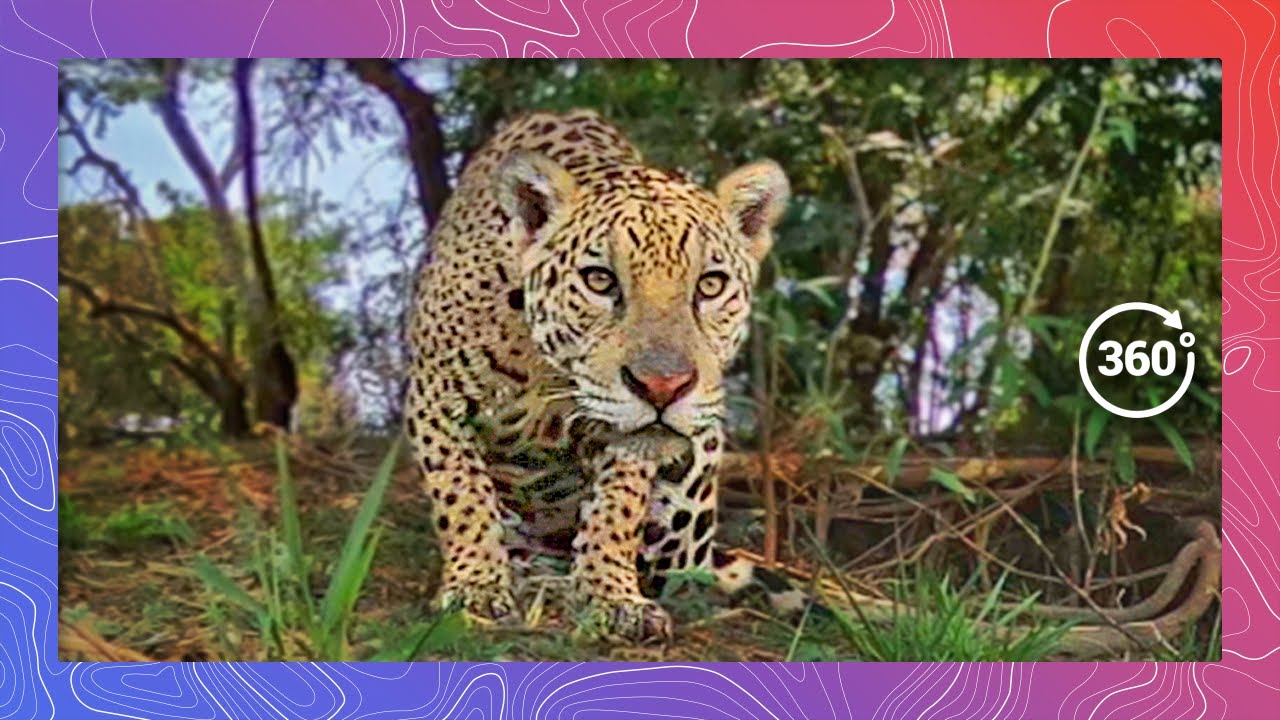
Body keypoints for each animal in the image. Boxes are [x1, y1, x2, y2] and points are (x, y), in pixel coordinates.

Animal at [404, 108, 810, 642]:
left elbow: (616, 510)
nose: (663, 387)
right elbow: (461, 494)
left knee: (669, 569)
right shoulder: (436, 395)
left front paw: (610, 595)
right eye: (600, 280)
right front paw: (476, 585)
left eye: (710, 285)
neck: (547, 367)